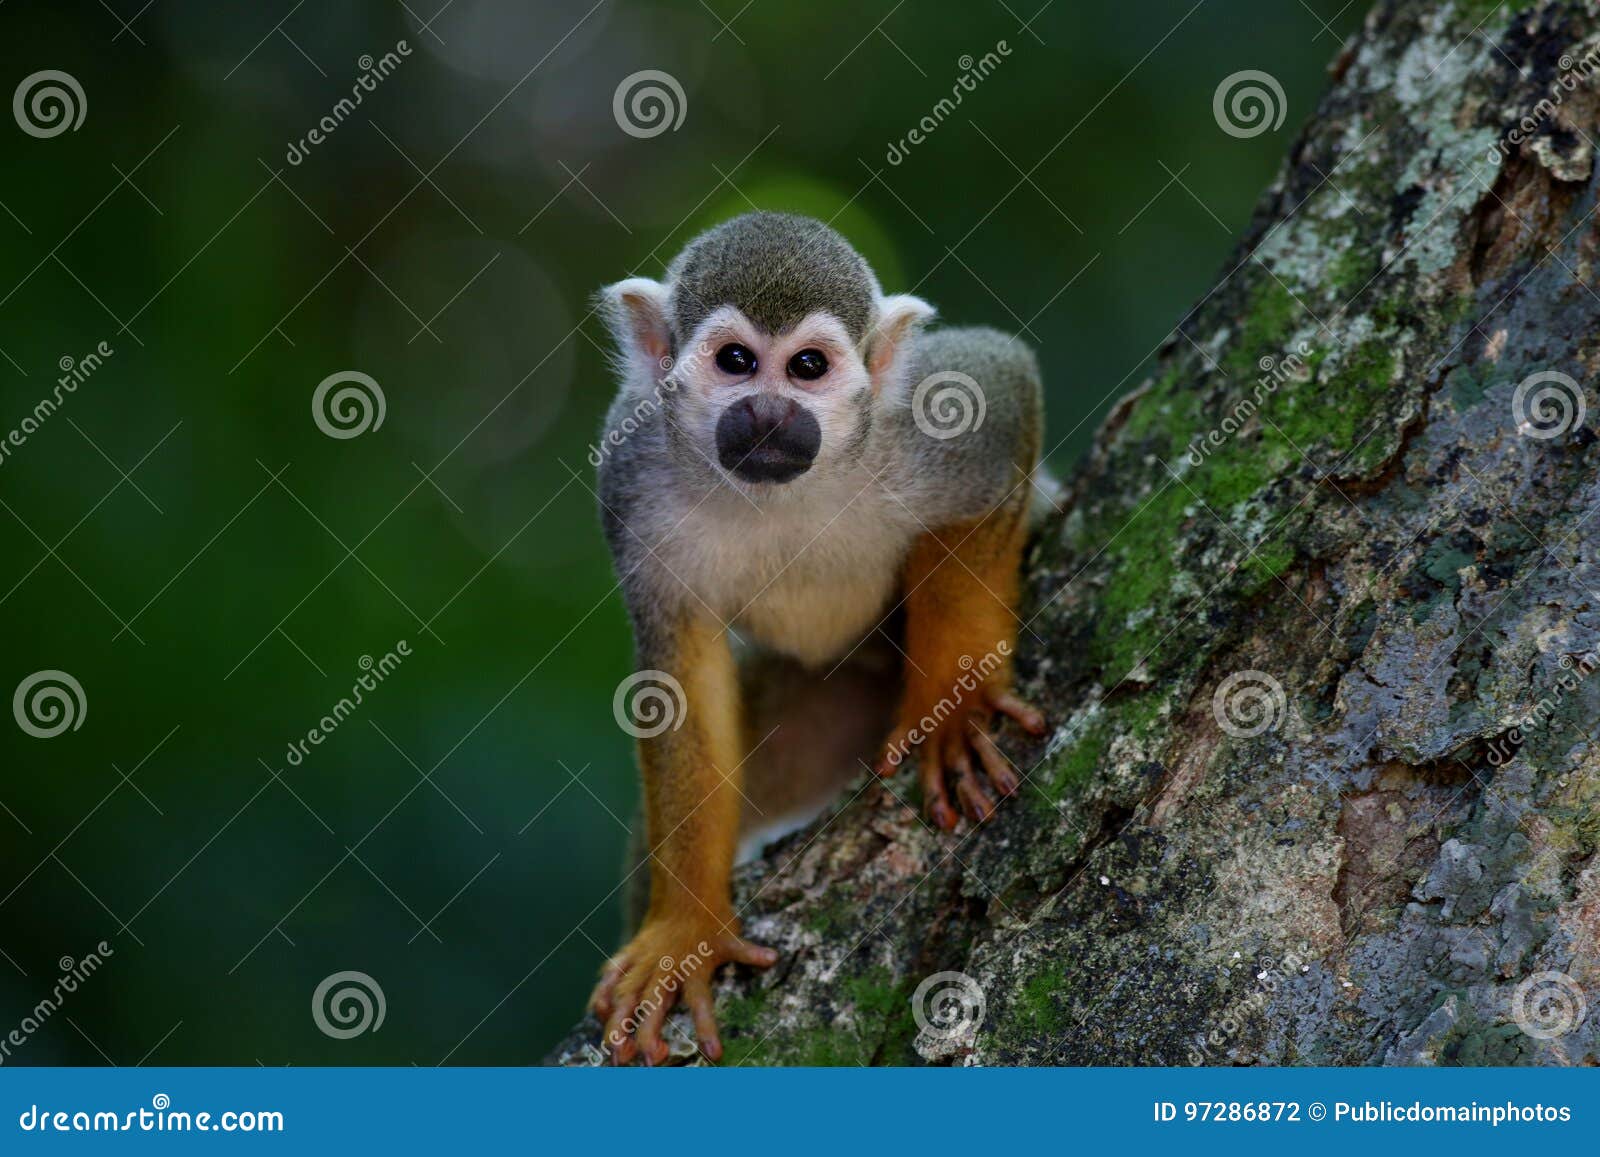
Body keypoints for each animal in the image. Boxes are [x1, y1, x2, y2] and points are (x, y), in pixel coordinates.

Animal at [590, 211, 1050, 1065]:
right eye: (736, 362)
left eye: (808, 367)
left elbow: (1004, 385)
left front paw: (953, 707)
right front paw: (686, 926)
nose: (770, 414)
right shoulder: (629, 474)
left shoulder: (933, 418)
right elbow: (678, 675)